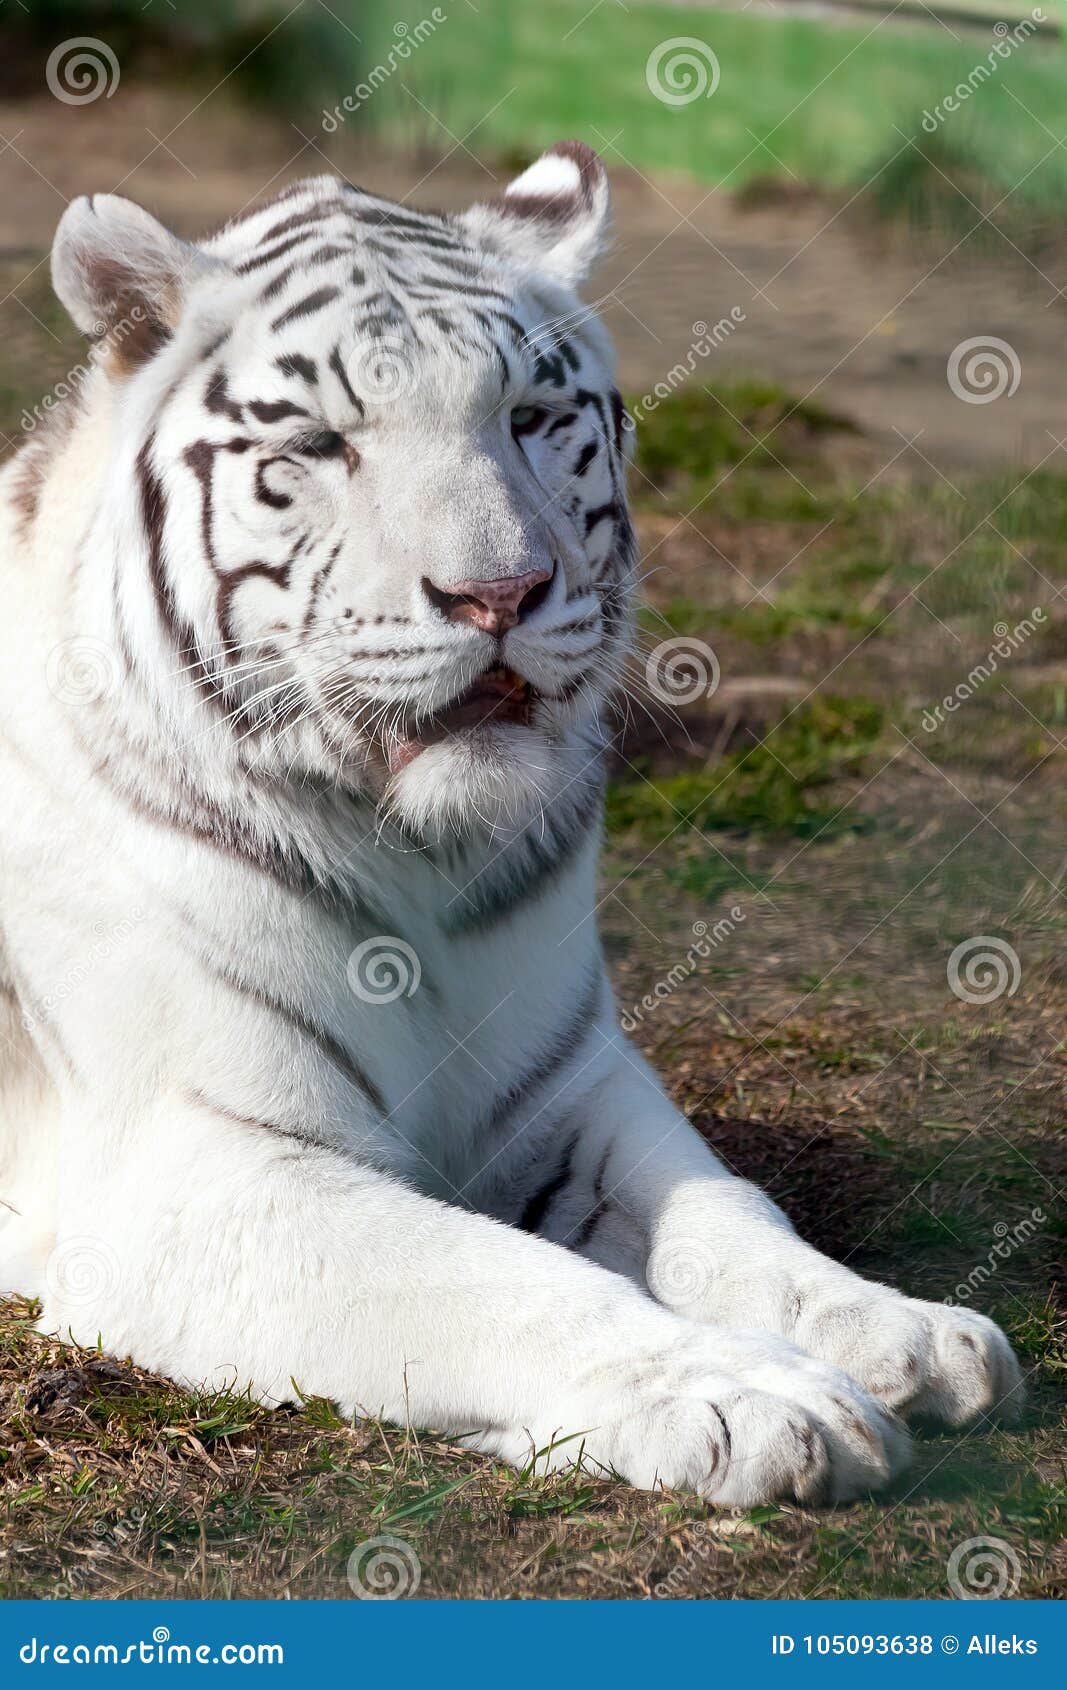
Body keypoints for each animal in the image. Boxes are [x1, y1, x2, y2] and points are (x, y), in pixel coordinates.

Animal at [0, 144, 1021, 1505]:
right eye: (321, 444)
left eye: (529, 419)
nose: (500, 593)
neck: (418, 863)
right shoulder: (196, 1165)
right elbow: (493, 1275)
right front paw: (751, 1397)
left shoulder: (571, 1089)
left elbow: (729, 1211)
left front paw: (898, 1329)